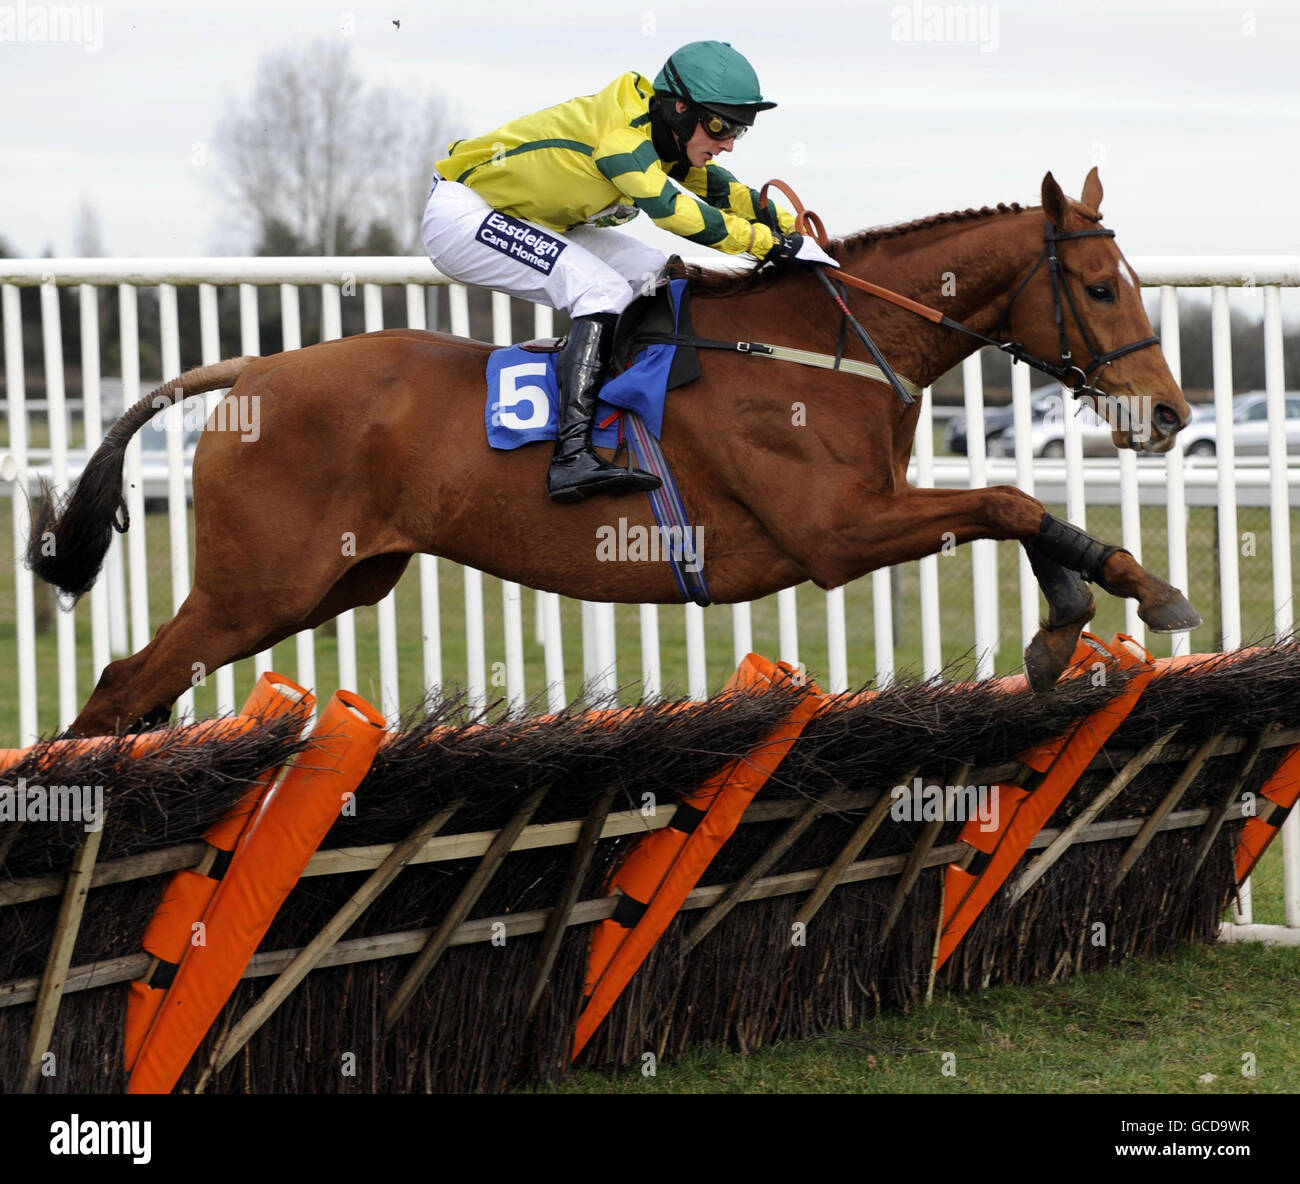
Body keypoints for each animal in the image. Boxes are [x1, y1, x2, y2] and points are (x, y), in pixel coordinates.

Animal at [28, 168, 1200, 736]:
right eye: (1102, 287)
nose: (1169, 413)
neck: (821, 345)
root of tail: (250, 373)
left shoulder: (871, 508)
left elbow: (1015, 504)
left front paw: (1107, 599)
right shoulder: (834, 533)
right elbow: (1004, 498)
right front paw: (1089, 607)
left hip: (336, 583)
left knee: (139, 687)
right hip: (257, 585)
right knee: (124, 680)